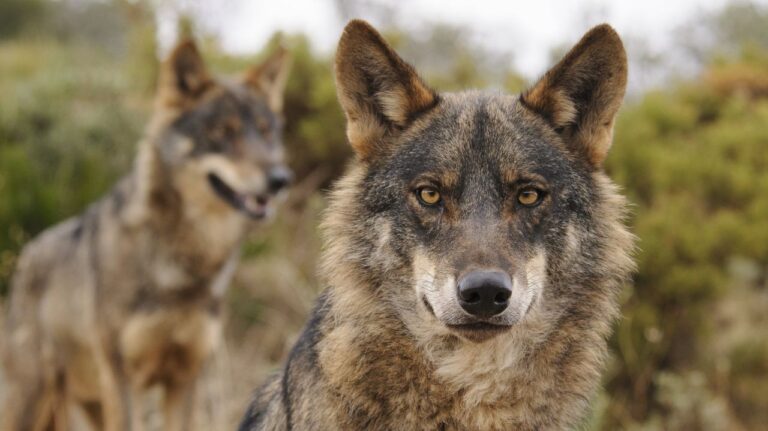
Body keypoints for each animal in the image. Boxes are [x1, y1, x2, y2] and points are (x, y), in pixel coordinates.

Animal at [1, 40, 291, 431]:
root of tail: (26, 255)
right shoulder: (123, 378)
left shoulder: (186, 377)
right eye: (222, 133)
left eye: (265, 131)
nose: (280, 180)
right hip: (35, 402)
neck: (184, 267)